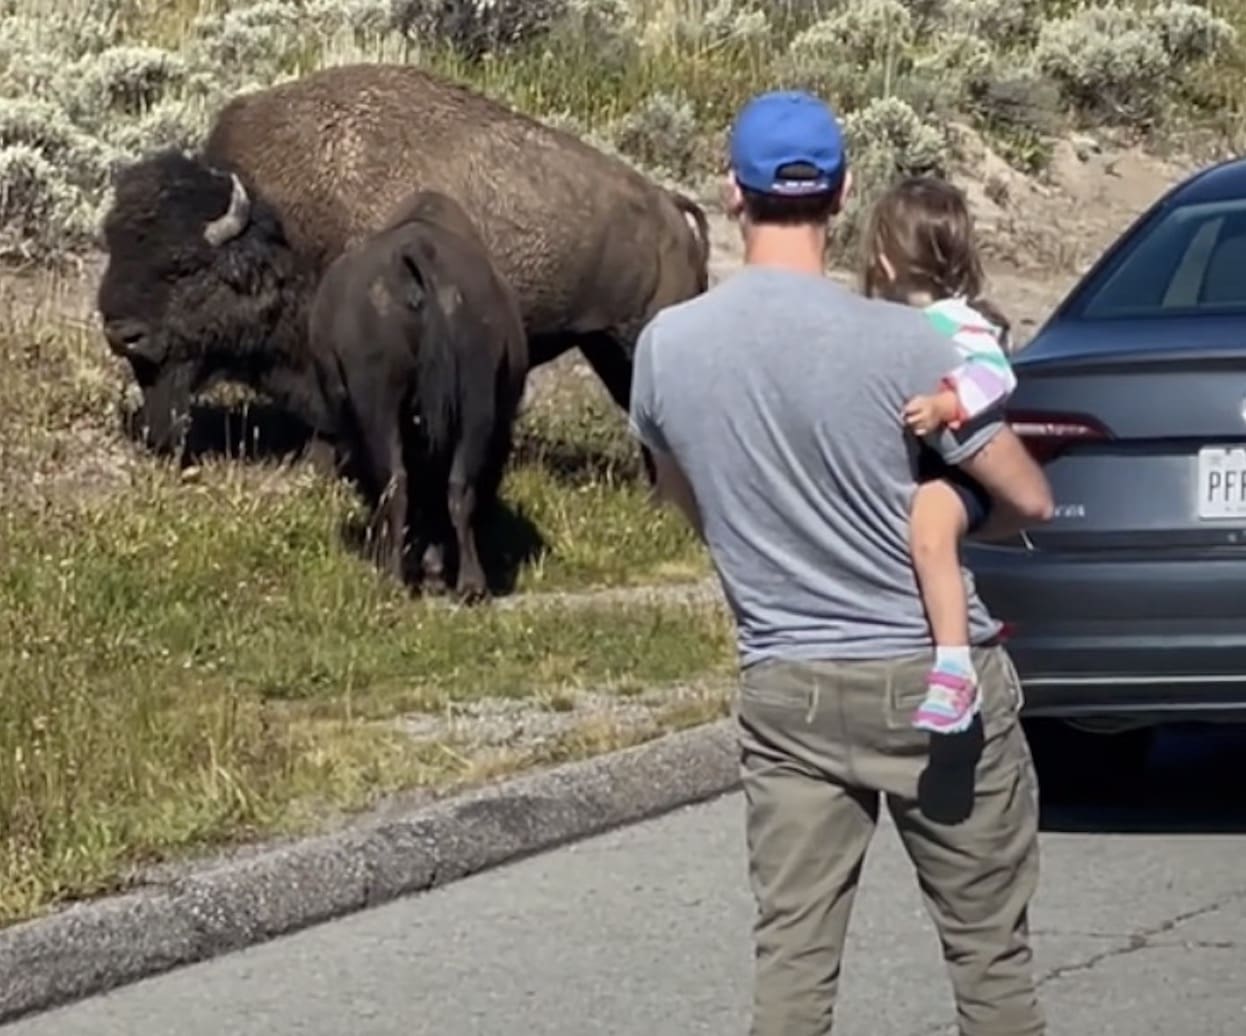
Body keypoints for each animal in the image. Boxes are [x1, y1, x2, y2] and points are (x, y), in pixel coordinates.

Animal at [97, 62, 711, 457]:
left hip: (634, 339)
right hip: (604, 343)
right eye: (112, 246)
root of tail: (669, 205)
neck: (282, 227)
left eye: (183, 266)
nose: (119, 332)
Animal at [309, 189, 528, 601]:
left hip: (380, 407)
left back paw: (395, 576)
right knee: (456, 486)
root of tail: (418, 251)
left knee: (397, 483)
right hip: (475, 400)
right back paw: (469, 584)